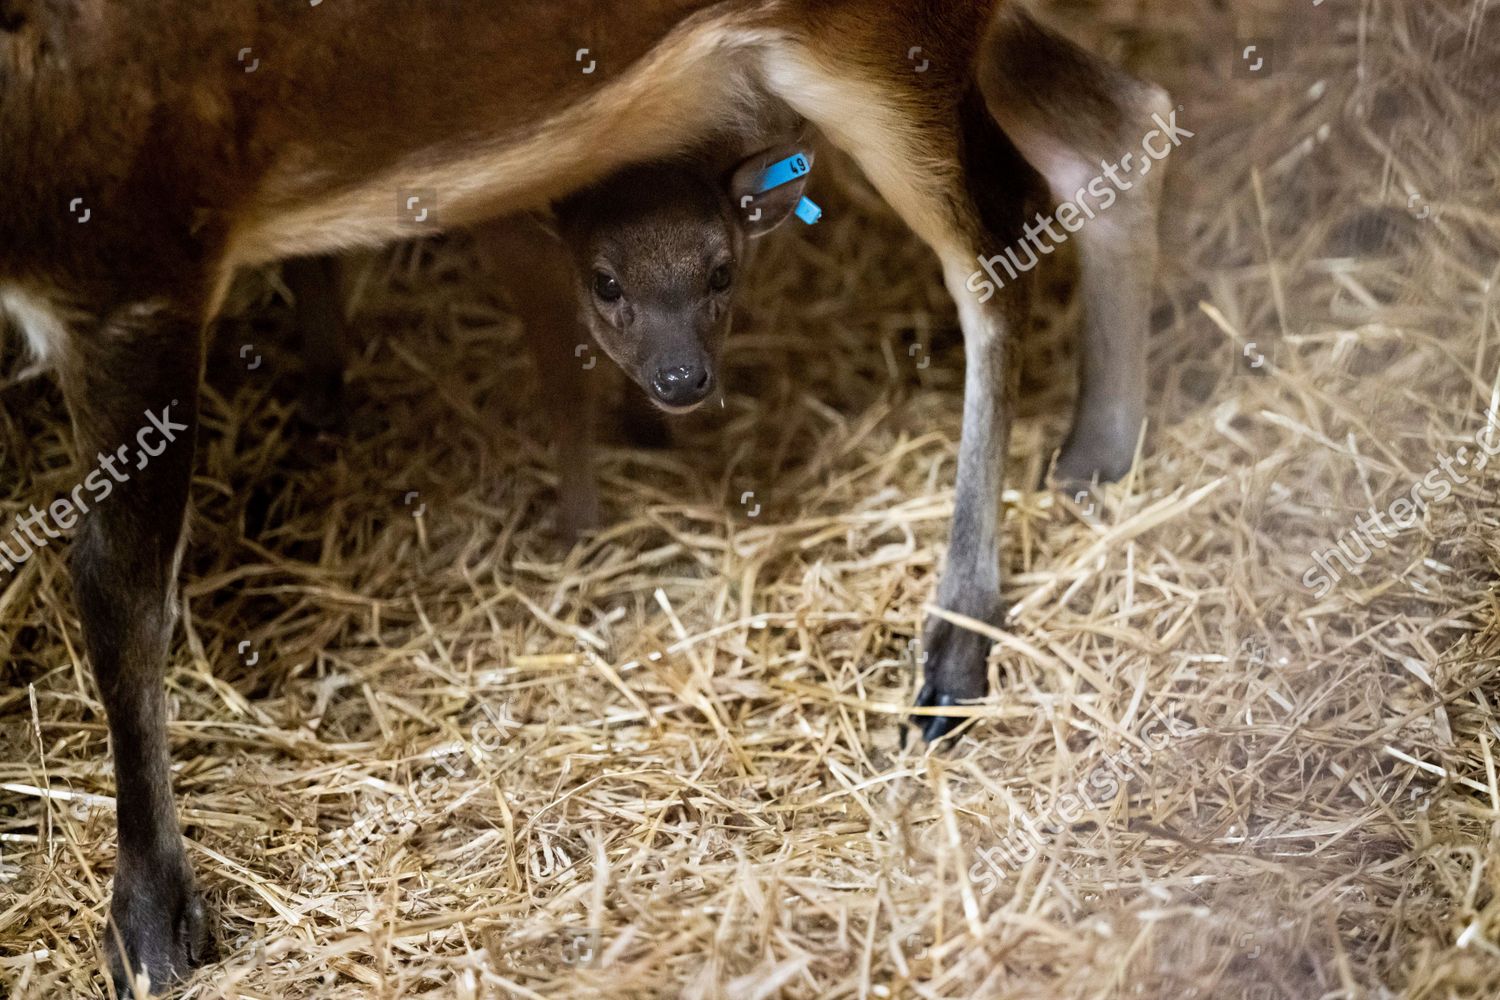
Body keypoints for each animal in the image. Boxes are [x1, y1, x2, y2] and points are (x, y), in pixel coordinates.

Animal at [0, 0, 1168, 992]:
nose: (683, 376)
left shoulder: (133, 248)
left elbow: (116, 592)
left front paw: (151, 924)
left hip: (882, 40)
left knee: (998, 247)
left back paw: (954, 649)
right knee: (1115, 121)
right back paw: (1099, 453)